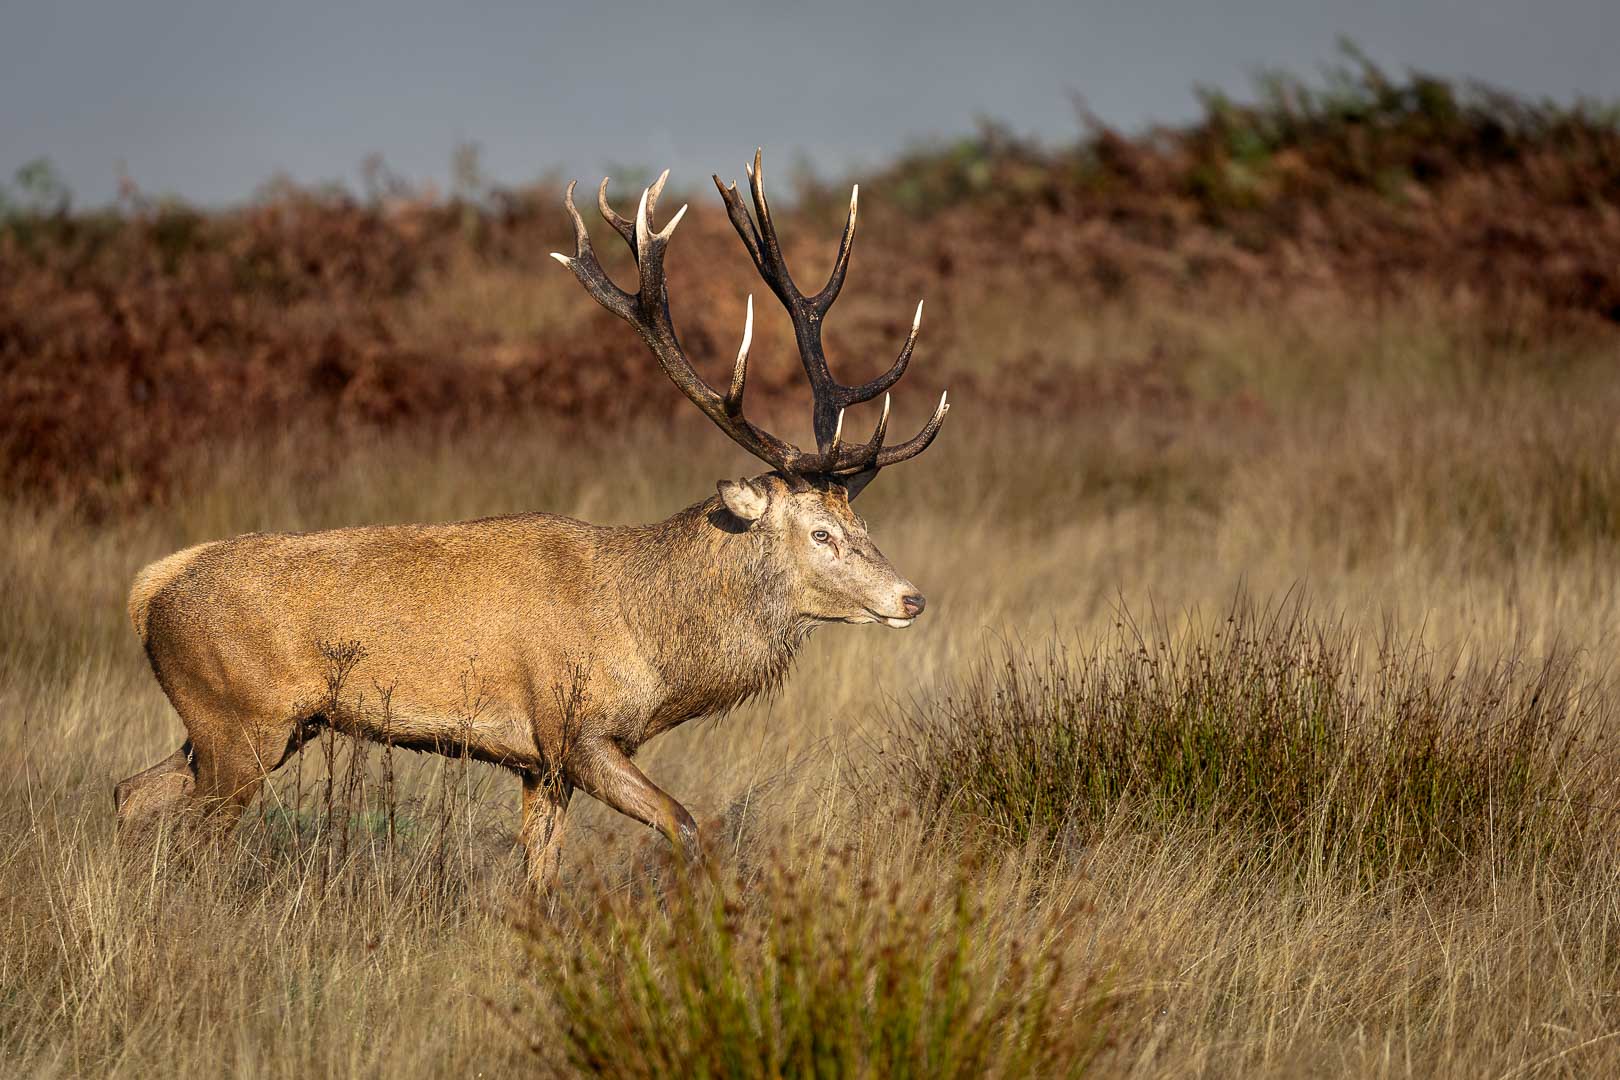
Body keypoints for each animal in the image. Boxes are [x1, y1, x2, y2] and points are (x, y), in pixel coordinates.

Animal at [113, 151, 948, 892]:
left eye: (857, 517)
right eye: (821, 533)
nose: (911, 597)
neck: (647, 641)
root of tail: (148, 590)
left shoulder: (538, 764)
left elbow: (539, 881)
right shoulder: (573, 729)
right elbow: (689, 826)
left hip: (249, 727)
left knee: (129, 792)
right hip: (240, 720)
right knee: (194, 832)